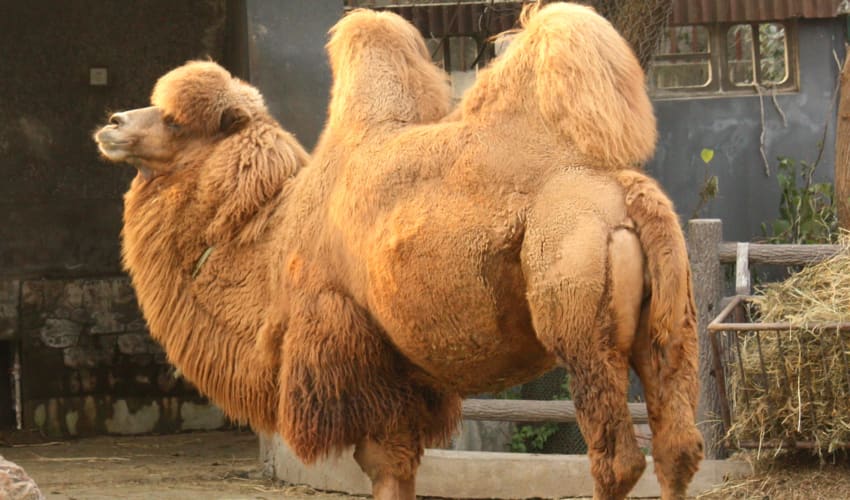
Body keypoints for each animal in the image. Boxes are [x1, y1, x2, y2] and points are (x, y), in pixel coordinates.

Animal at [92, 3, 702, 500]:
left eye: (174, 121)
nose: (112, 123)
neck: (271, 243)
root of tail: (628, 194)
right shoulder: (404, 369)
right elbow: (402, 465)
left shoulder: (351, 346)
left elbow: (381, 464)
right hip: (669, 328)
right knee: (677, 449)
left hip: (578, 317)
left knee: (616, 459)